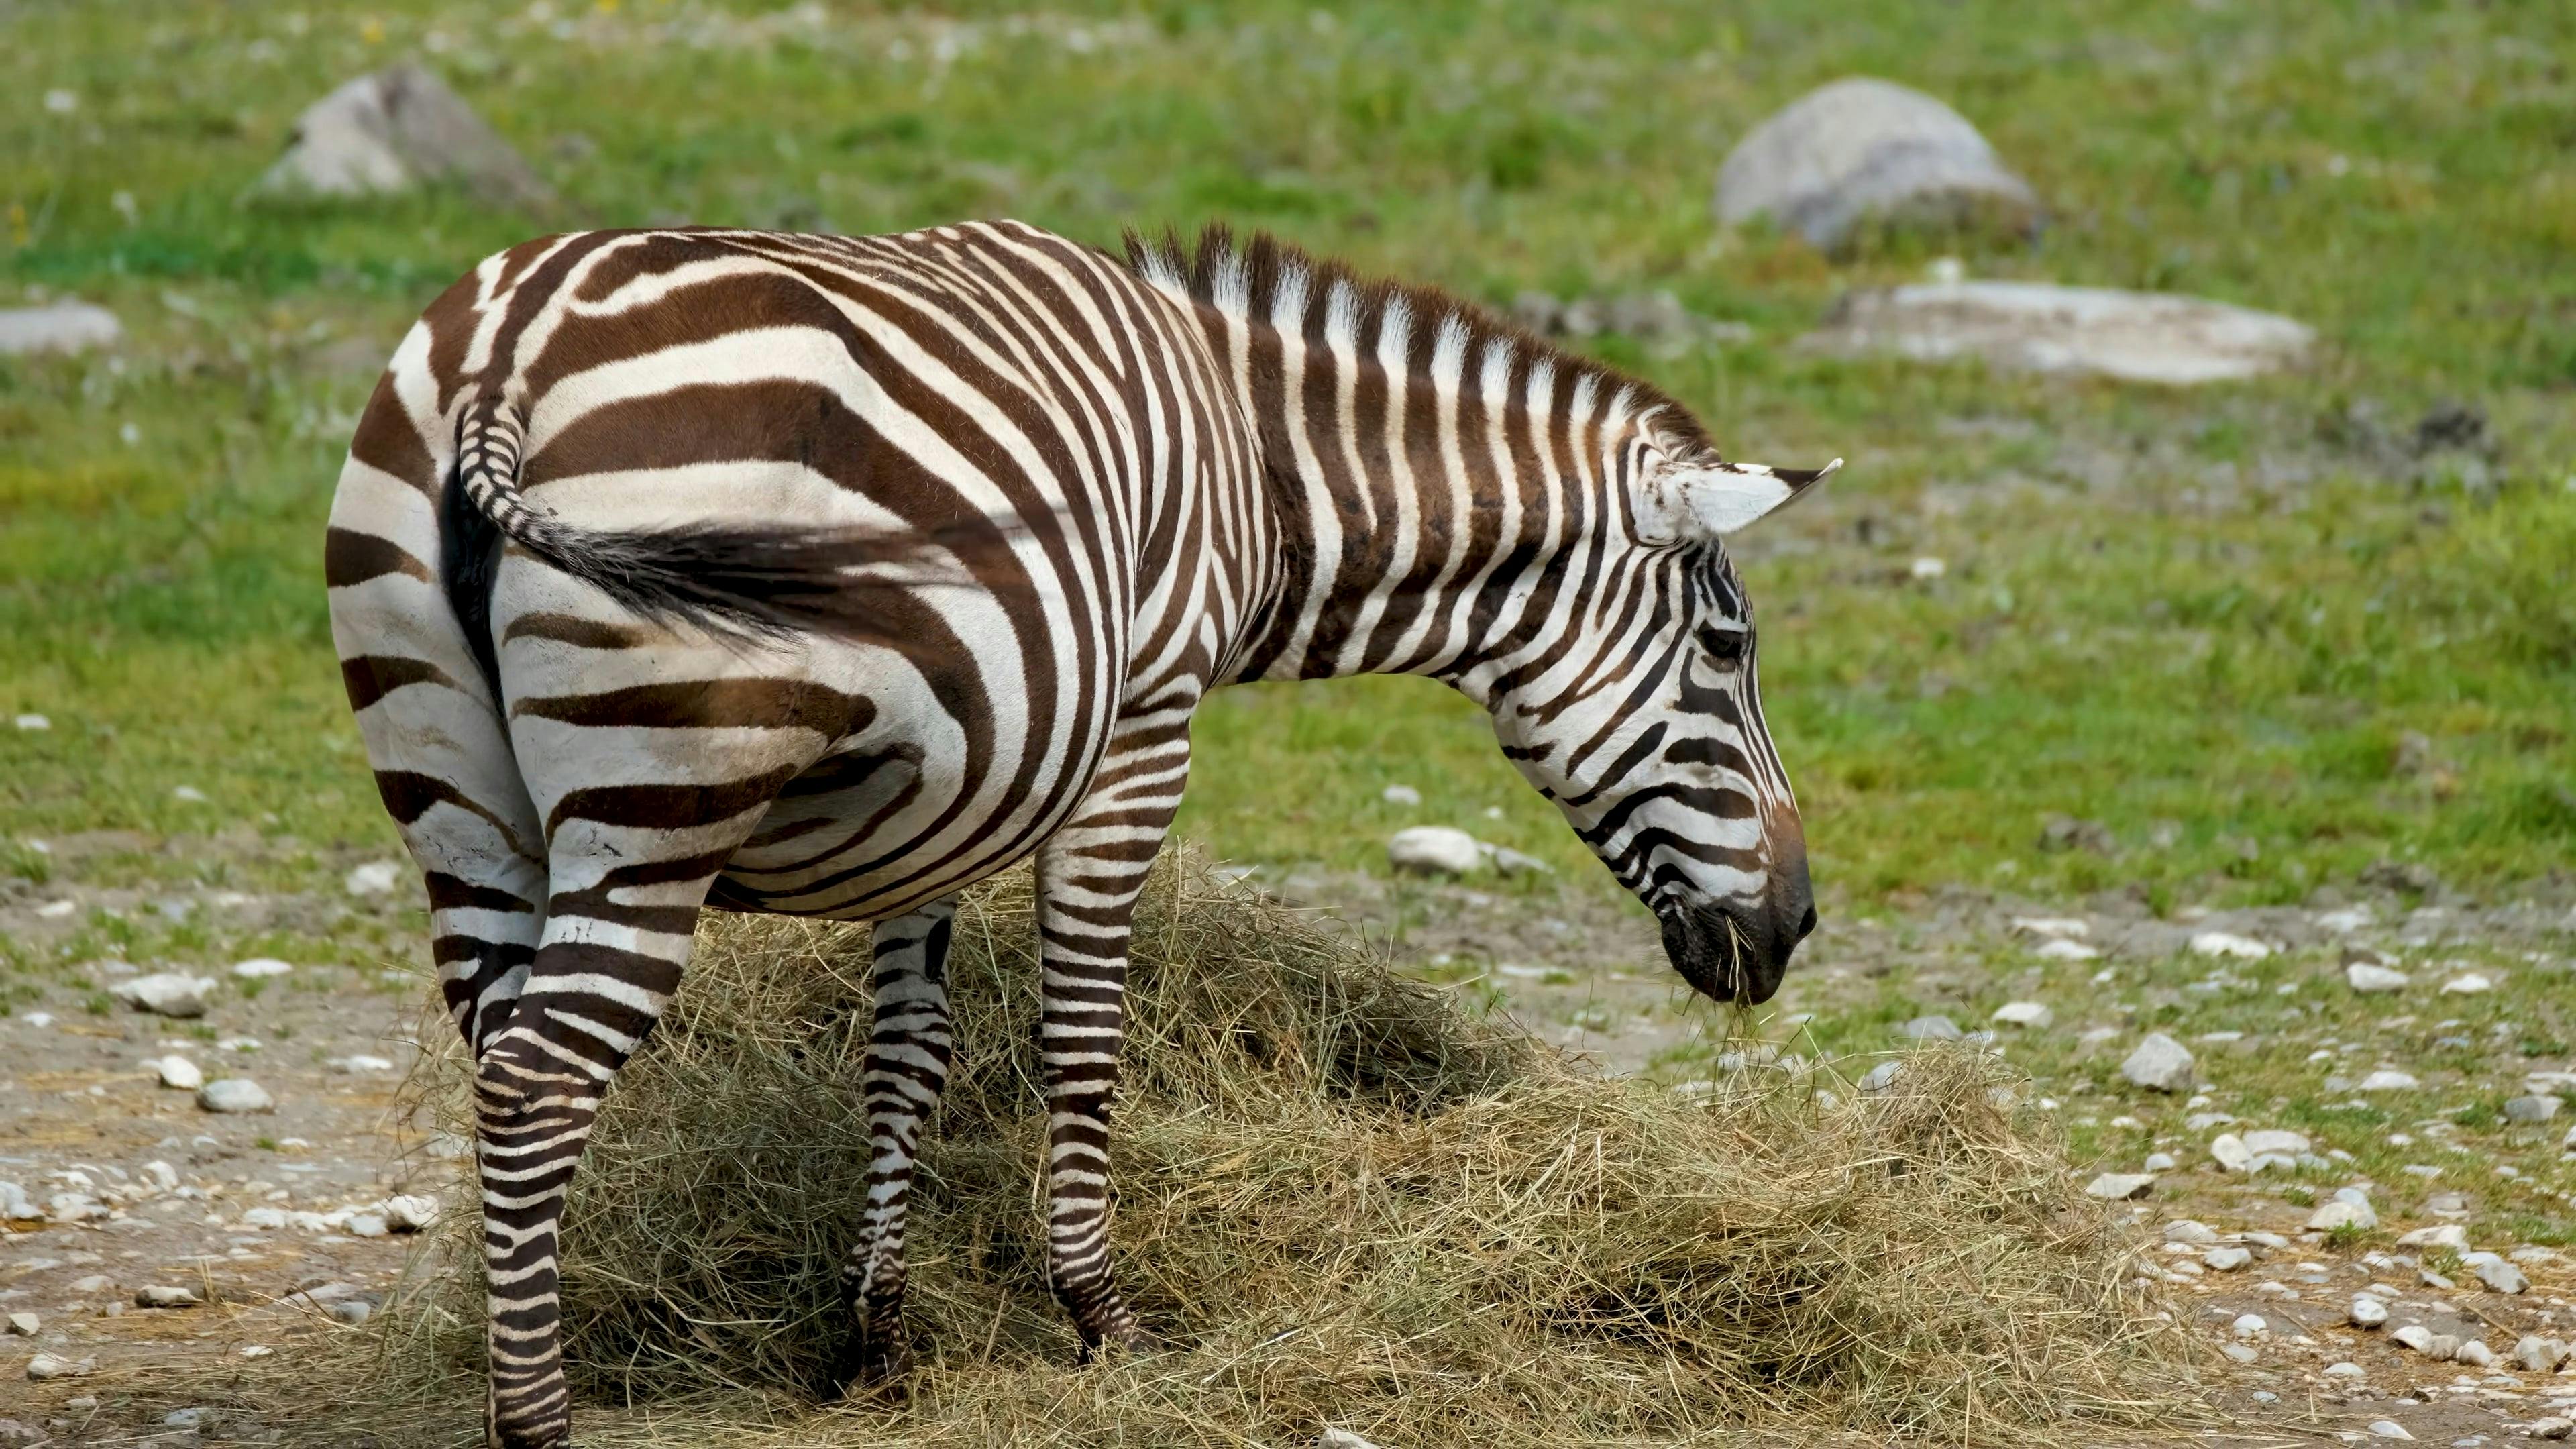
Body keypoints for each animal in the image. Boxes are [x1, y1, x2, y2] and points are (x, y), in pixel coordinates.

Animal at [327, 220, 1833, 1448]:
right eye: (1727, 648)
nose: (1798, 925)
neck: (1256, 470)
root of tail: (509, 356)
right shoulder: (1142, 729)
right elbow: (1085, 1036)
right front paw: (1104, 1319)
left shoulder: (942, 789)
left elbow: (906, 1056)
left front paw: (875, 1336)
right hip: (656, 804)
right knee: (538, 1085)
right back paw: (539, 1421)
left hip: (458, 800)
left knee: (496, 1059)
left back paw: (518, 1352)